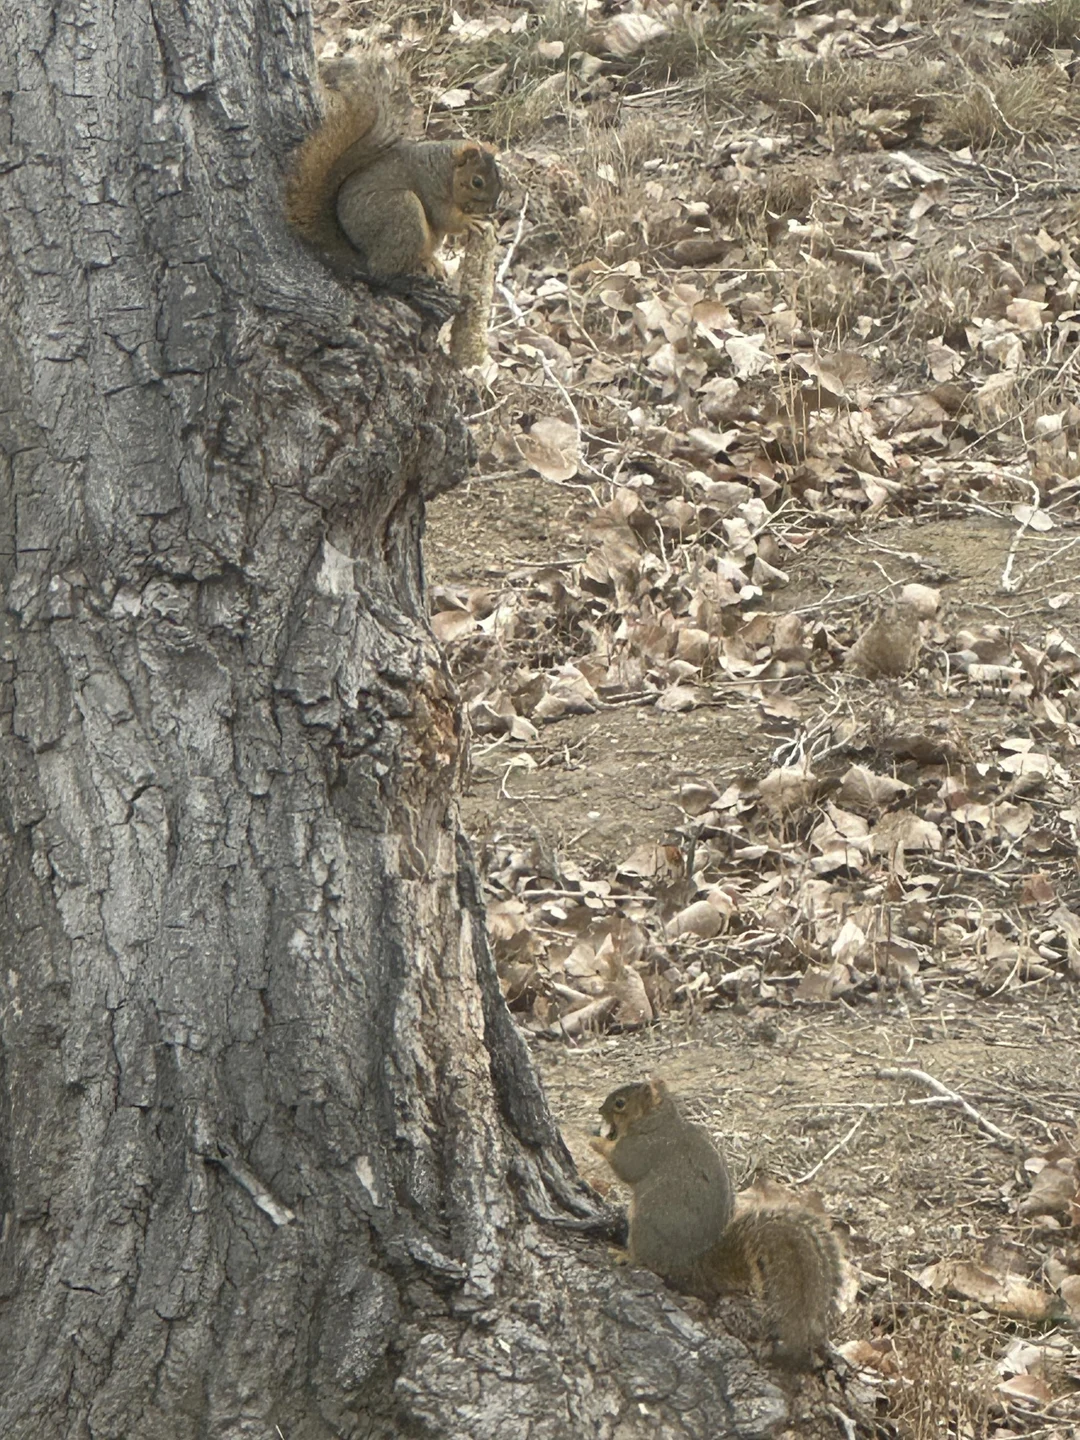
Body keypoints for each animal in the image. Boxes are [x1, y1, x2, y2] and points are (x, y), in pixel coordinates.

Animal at [285, 53, 502, 287]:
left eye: (500, 178)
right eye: (477, 181)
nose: (492, 208)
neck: (445, 169)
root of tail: (362, 256)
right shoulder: (431, 189)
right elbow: (446, 218)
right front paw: (470, 221)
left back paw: (431, 262)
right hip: (401, 210)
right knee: (387, 267)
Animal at [591, 1079, 843, 1368]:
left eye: (620, 1103)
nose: (600, 1109)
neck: (657, 1120)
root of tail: (691, 1263)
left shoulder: (646, 1147)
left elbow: (625, 1165)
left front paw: (596, 1141)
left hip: (644, 1227)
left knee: (646, 1261)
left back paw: (625, 1255)